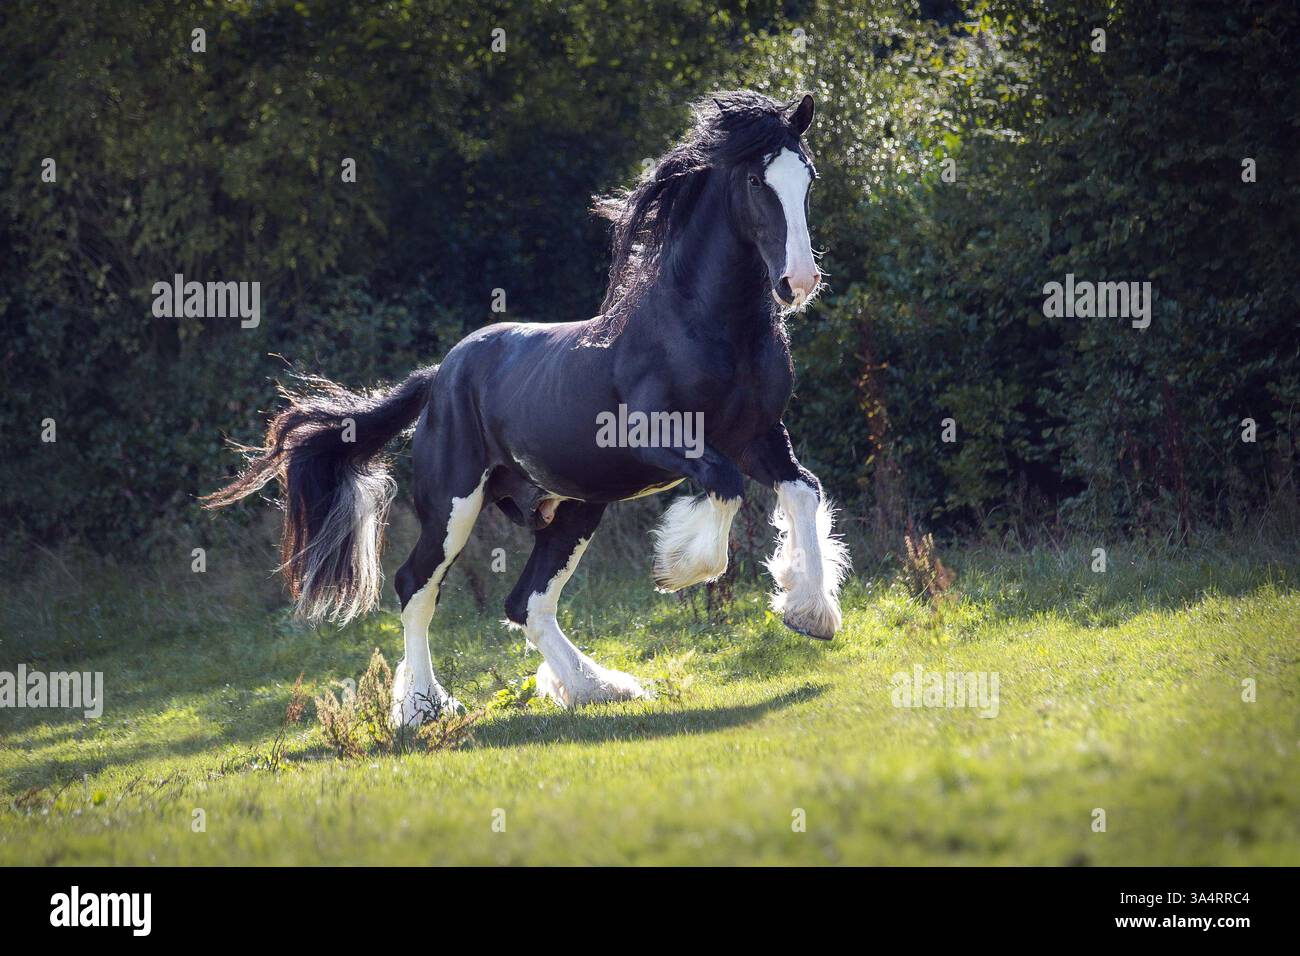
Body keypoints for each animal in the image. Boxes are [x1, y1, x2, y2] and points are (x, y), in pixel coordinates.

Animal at [205, 90, 849, 725]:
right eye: (756, 181)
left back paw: (599, 689)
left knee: (526, 603)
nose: (798, 282)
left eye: (808, 177)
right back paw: (424, 708)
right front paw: (678, 568)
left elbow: (804, 490)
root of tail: (439, 375)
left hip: (576, 506)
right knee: (416, 586)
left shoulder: (761, 435)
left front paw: (809, 614)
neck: (704, 326)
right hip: (455, 504)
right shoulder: (661, 436)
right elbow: (727, 484)